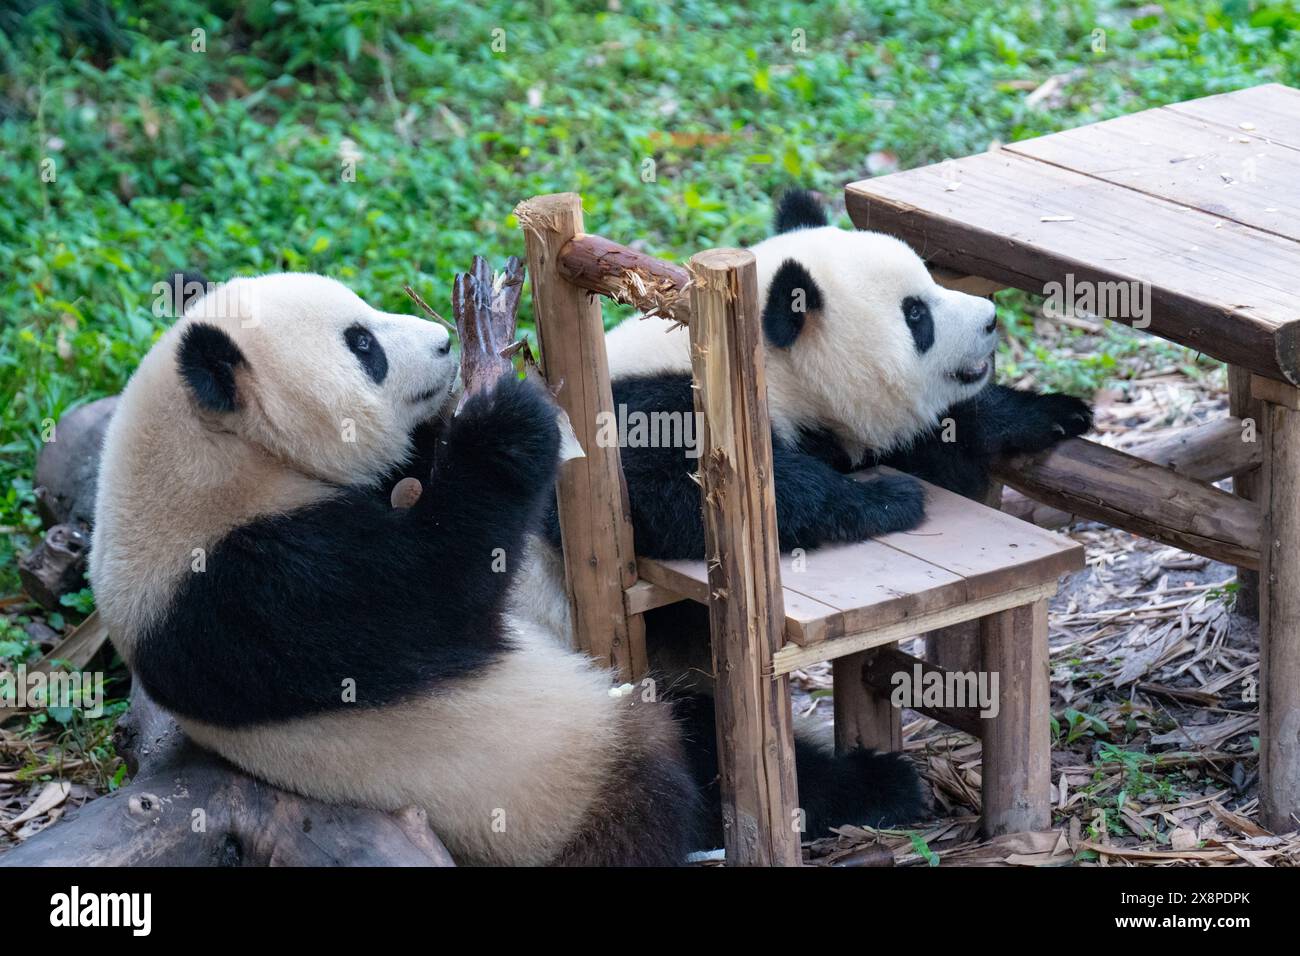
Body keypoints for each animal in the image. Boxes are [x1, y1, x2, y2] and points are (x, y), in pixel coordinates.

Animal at [88, 273, 709, 867]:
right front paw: (507, 418)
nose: (444, 343)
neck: (211, 457)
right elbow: (439, 585)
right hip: (564, 776)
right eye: (363, 344)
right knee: (655, 786)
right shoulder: (247, 590)